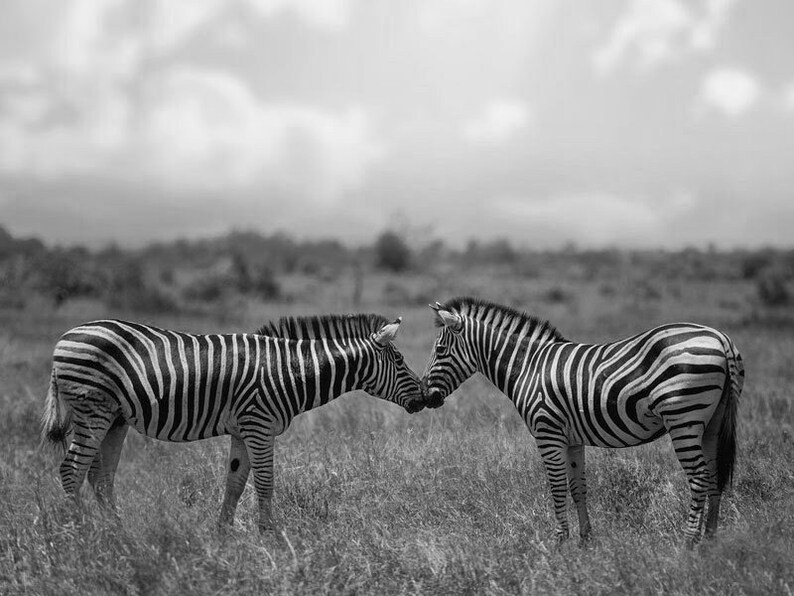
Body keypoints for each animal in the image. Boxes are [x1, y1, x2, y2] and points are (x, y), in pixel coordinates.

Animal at [41, 314, 424, 532]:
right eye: (400, 361)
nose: (426, 398)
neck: (291, 372)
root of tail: (64, 337)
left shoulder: (243, 430)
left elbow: (235, 484)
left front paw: (223, 535)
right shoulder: (259, 425)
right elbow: (265, 483)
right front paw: (269, 537)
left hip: (114, 418)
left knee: (100, 477)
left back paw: (117, 535)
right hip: (93, 410)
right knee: (72, 471)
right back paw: (83, 536)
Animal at [420, 297, 744, 546]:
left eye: (439, 351)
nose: (424, 397)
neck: (528, 365)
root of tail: (721, 338)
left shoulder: (547, 432)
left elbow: (557, 487)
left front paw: (559, 542)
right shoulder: (572, 440)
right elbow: (578, 488)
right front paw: (585, 541)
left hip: (683, 417)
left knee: (699, 477)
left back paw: (688, 543)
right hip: (712, 422)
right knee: (713, 476)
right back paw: (710, 540)